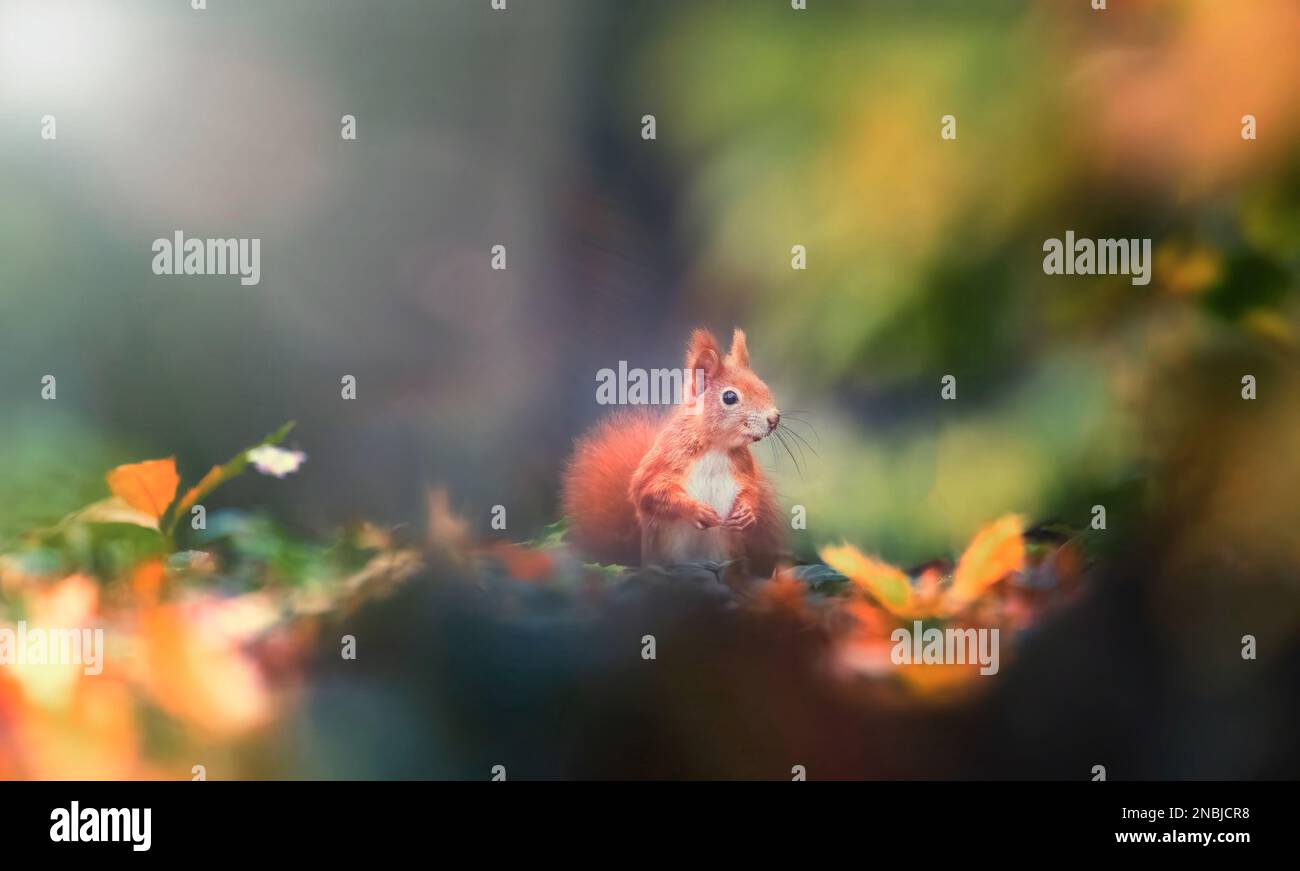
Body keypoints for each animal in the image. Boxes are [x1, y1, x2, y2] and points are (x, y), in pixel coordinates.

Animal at [562, 328, 785, 572]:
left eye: (764, 387)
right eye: (729, 397)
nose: (774, 419)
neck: (716, 447)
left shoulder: (744, 469)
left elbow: (751, 489)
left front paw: (747, 512)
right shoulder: (667, 457)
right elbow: (649, 490)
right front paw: (696, 510)